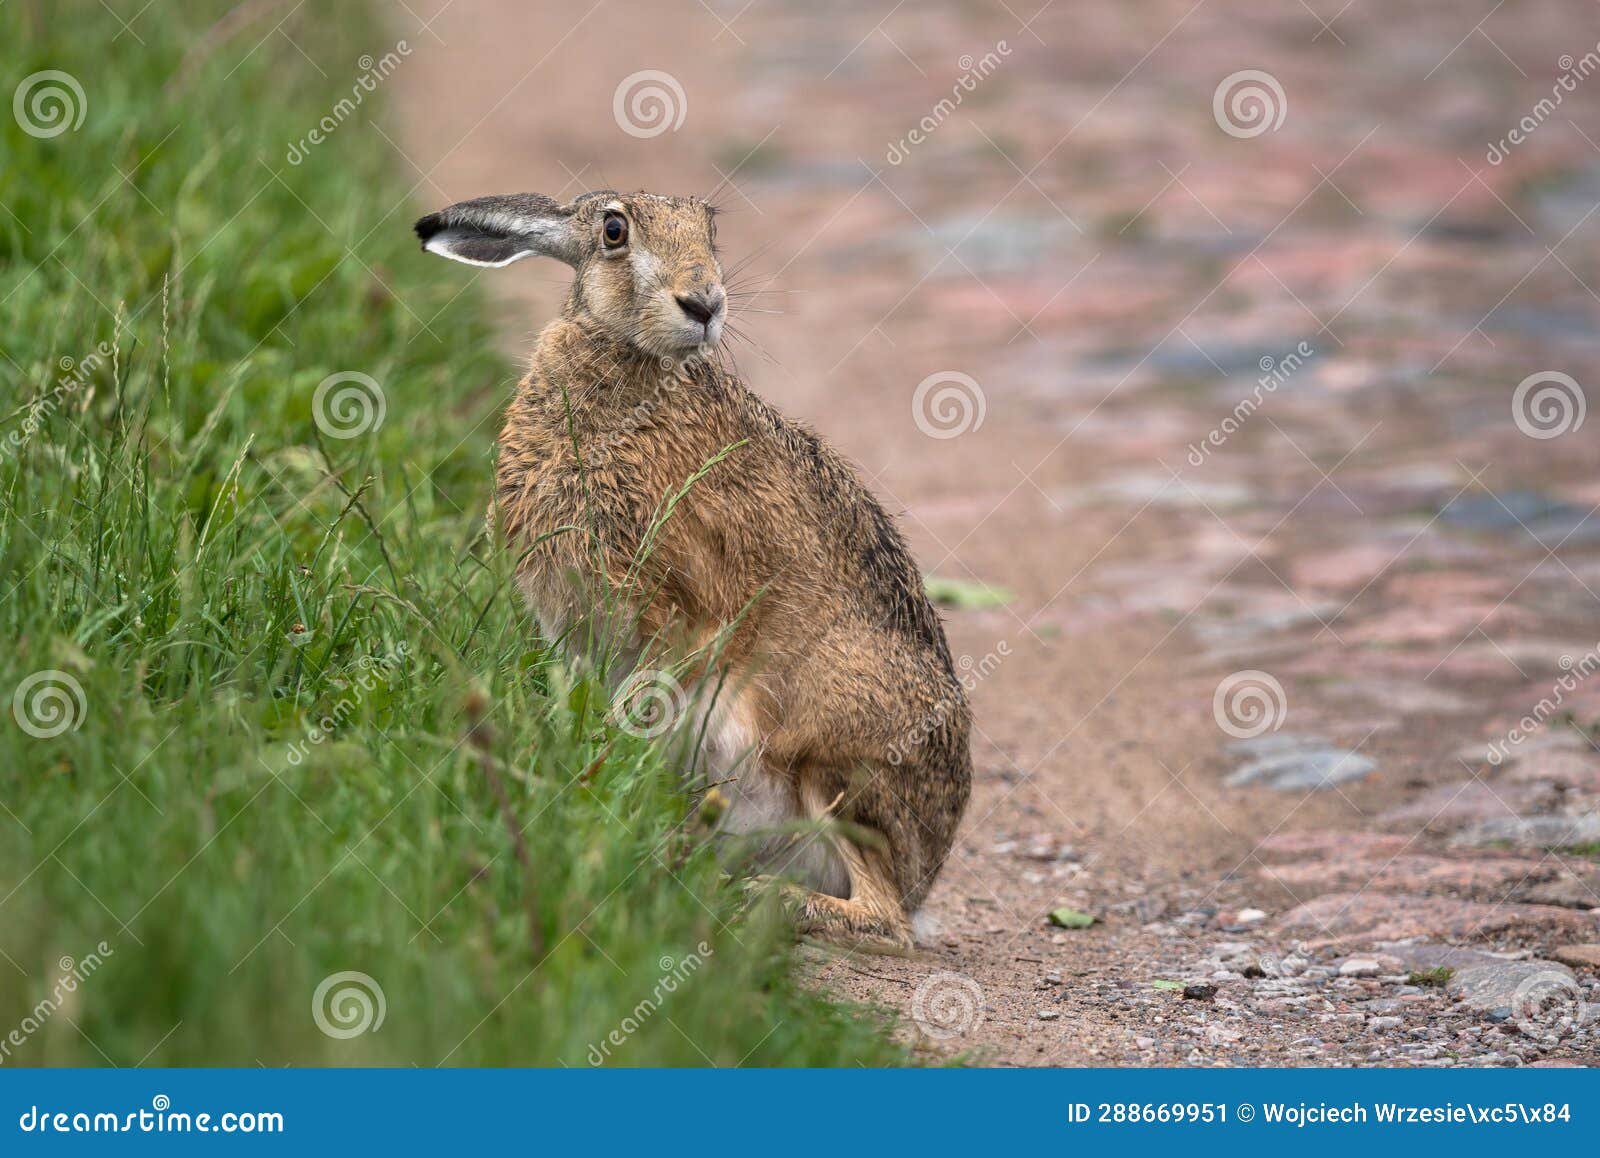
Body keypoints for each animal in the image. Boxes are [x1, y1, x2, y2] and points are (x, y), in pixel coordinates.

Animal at [415, 189, 971, 954]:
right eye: (614, 231)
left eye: (710, 233)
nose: (704, 302)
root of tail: (929, 871)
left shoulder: (679, 612)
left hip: (829, 749)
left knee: (885, 916)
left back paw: (768, 897)